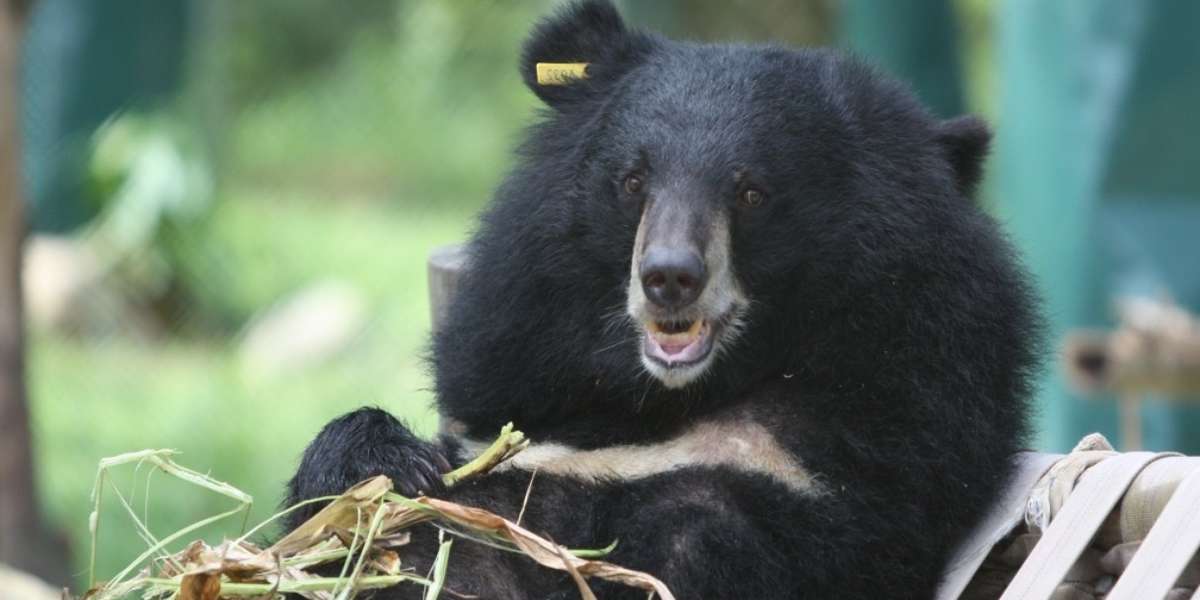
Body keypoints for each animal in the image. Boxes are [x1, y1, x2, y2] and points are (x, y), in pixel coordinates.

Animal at [283, 2, 1041, 597]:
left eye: (752, 192)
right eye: (632, 180)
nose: (669, 276)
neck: (669, 401)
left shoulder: (850, 479)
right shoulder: (519, 370)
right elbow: (365, 527)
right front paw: (390, 464)